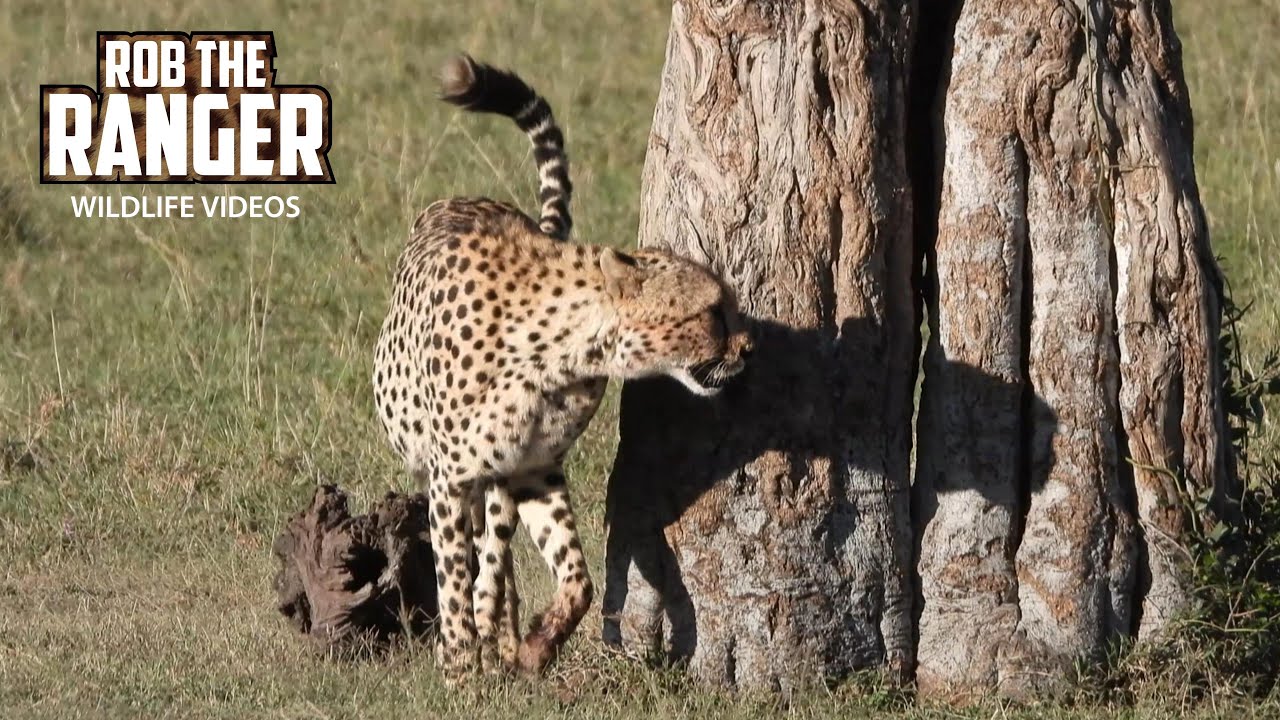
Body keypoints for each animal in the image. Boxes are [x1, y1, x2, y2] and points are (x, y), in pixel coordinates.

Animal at [372, 54, 753, 679]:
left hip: (500, 480)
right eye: (712, 312)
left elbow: (577, 579)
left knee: (496, 557)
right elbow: (453, 583)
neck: (558, 351)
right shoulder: (452, 477)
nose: (749, 347)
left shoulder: (535, 468)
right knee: (478, 556)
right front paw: (459, 672)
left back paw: (501, 636)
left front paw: (535, 646)